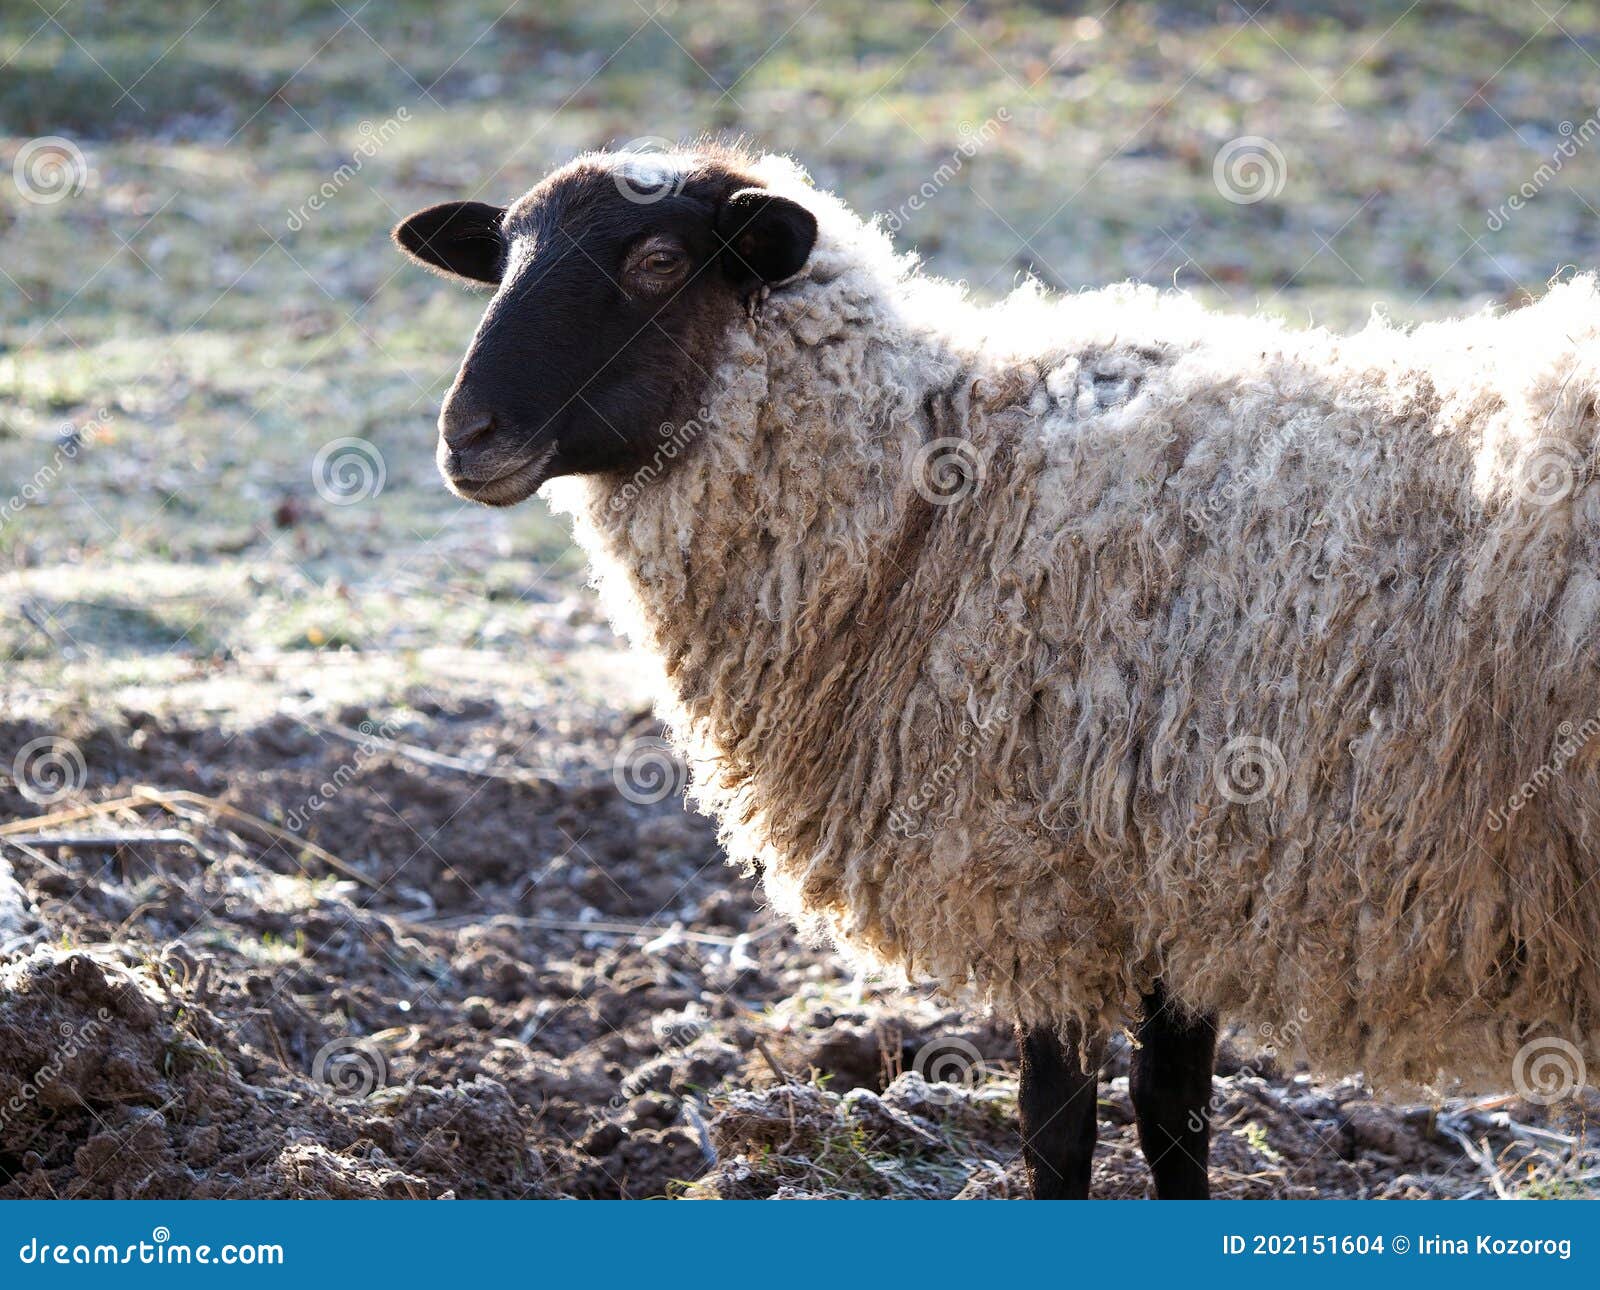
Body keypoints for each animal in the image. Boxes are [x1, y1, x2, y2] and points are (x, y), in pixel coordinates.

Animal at [393, 144, 1600, 1198]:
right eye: (504, 255)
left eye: (654, 260)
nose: (465, 436)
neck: (925, 500)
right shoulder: (1172, 874)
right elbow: (1171, 1114)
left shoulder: (1042, 875)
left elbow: (1059, 1130)